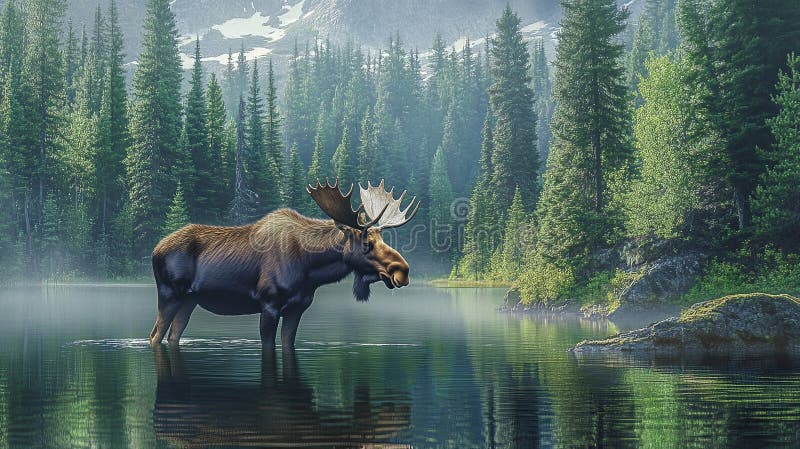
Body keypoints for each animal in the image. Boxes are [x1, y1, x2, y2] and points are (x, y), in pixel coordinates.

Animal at [149, 179, 420, 350]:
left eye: (382, 239)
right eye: (366, 243)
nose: (403, 271)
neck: (311, 271)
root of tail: (155, 249)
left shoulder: (297, 308)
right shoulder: (269, 304)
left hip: (189, 300)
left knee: (173, 335)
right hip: (170, 294)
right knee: (155, 335)